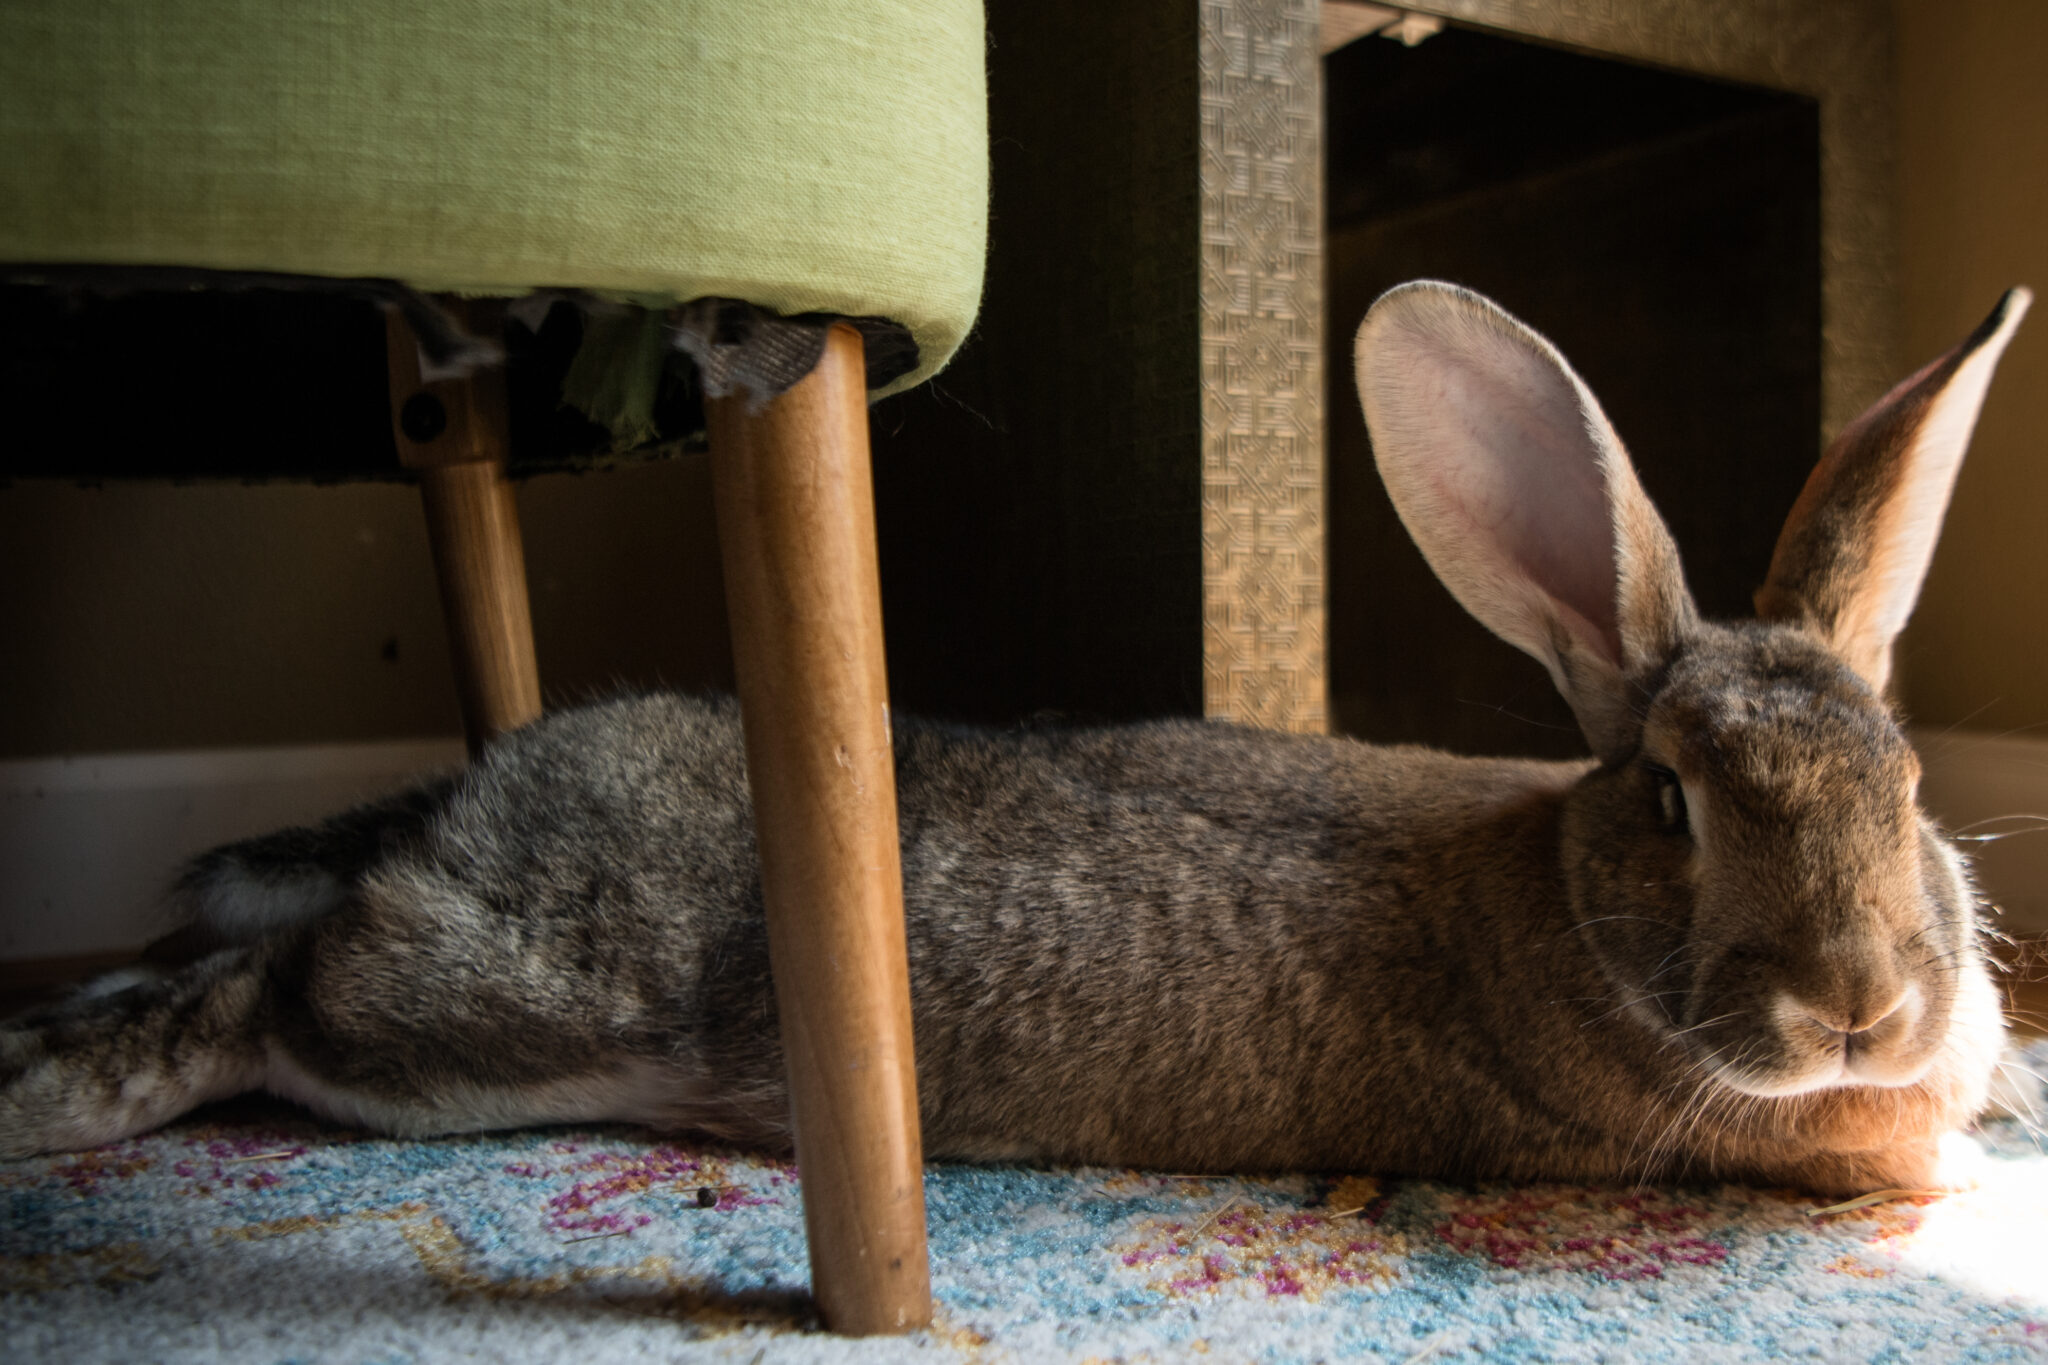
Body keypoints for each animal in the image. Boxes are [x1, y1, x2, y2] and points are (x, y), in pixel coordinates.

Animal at [0, 281, 2030, 1198]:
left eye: (1913, 782)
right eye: (1677, 801)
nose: (1858, 1009)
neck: (1567, 900)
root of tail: (465, 803)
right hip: (492, 1007)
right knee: (260, 1000)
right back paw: (48, 1101)